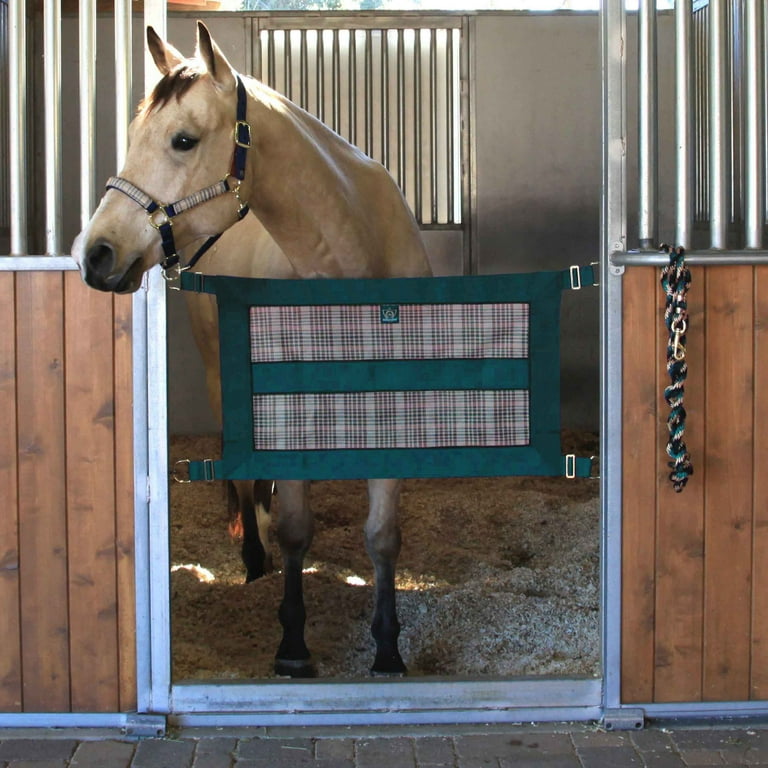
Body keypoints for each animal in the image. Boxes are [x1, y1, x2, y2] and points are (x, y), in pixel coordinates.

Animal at [71, 21, 432, 678]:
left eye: (183, 140)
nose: (96, 254)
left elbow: (382, 534)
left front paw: (388, 645)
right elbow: (294, 528)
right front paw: (291, 643)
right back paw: (253, 558)